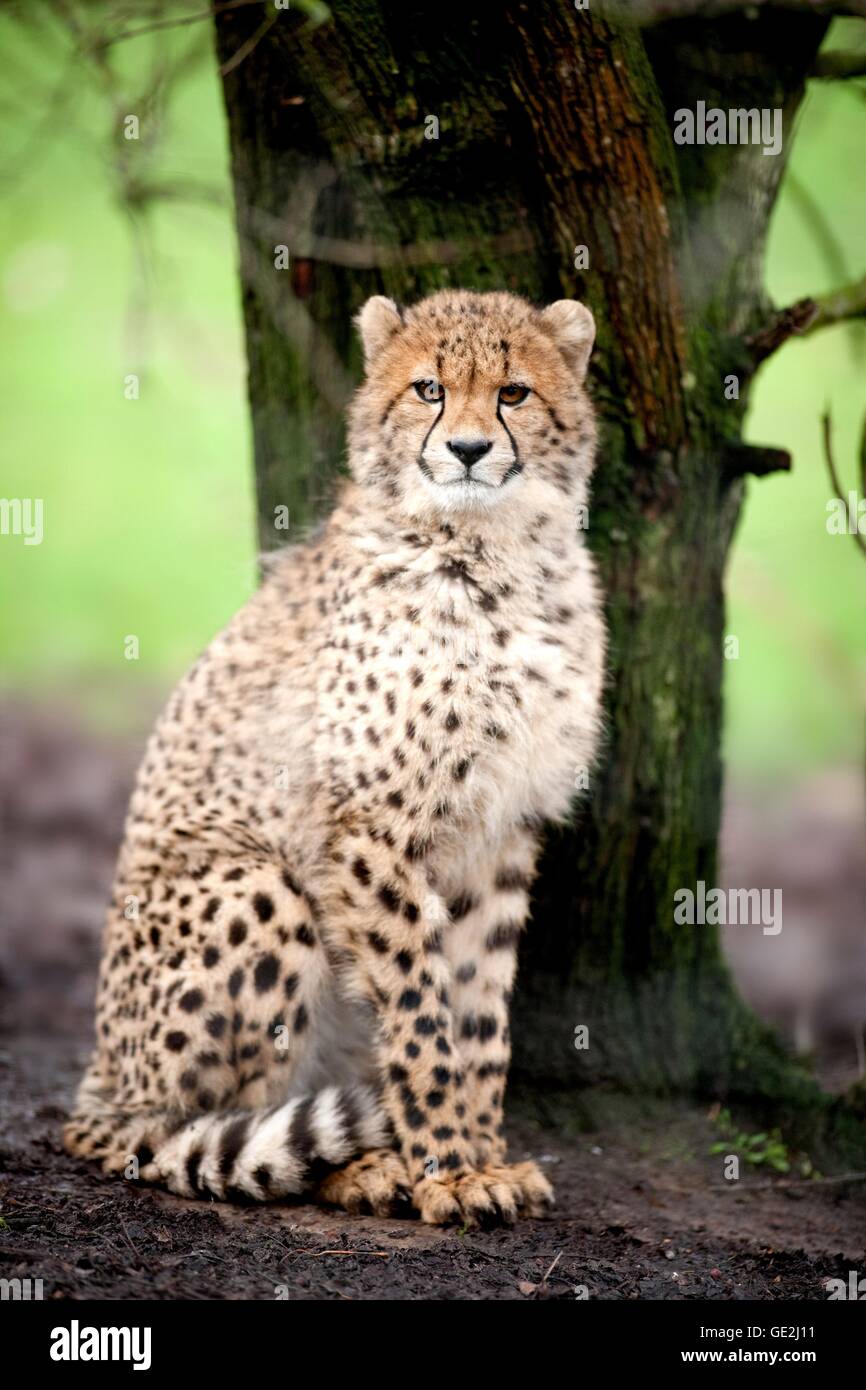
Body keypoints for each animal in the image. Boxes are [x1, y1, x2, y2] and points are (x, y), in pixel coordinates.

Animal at [64, 288, 607, 1226]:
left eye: (513, 393)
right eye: (428, 389)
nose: (468, 449)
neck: (497, 551)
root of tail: (98, 1091)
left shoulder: (500, 836)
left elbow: (480, 1020)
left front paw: (483, 1157)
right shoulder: (370, 831)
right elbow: (423, 1017)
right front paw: (446, 1170)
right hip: (260, 890)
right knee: (199, 1134)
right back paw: (356, 1166)